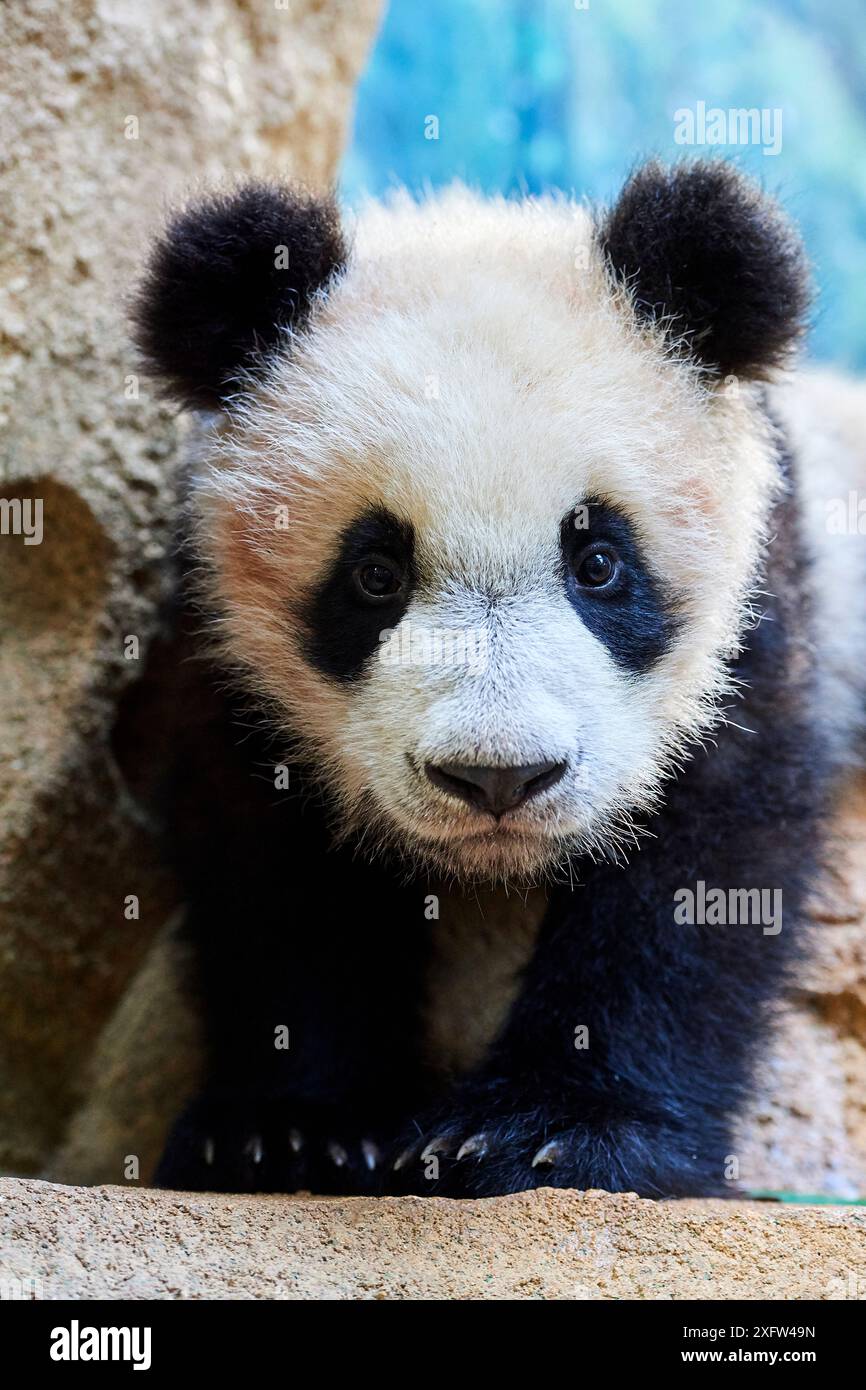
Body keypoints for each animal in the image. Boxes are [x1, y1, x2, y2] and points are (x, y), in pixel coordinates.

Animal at [131, 160, 866, 1199]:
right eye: (375, 573)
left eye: (598, 561)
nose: (497, 779)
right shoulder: (230, 653)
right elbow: (272, 871)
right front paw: (294, 1132)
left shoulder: (755, 628)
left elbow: (702, 871)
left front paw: (557, 1132)